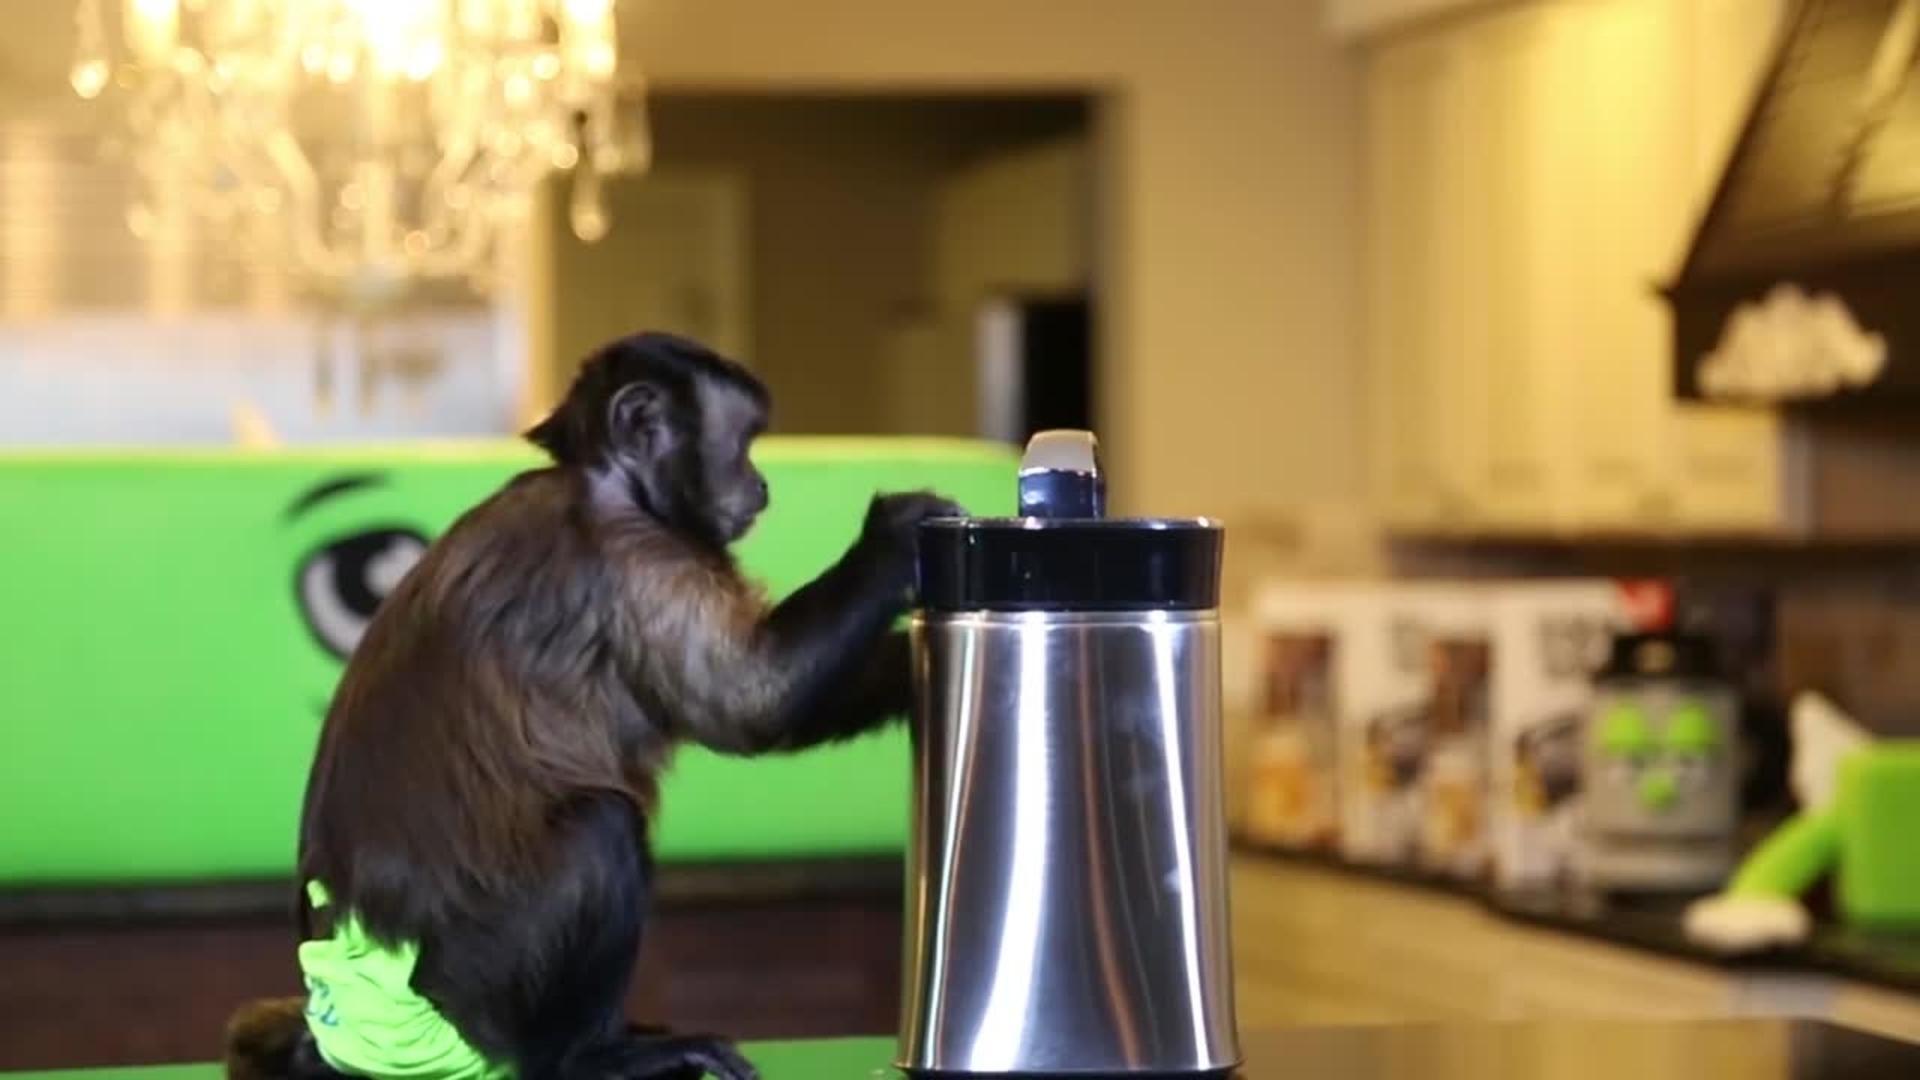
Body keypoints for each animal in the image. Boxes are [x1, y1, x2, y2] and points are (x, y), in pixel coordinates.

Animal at [225, 332, 965, 1080]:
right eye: (744, 444)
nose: (762, 485)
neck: (610, 480)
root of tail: (335, 1001)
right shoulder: (637, 555)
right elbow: (752, 702)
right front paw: (892, 539)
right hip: (466, 990)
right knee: (602, 828)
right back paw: (585, 1056)